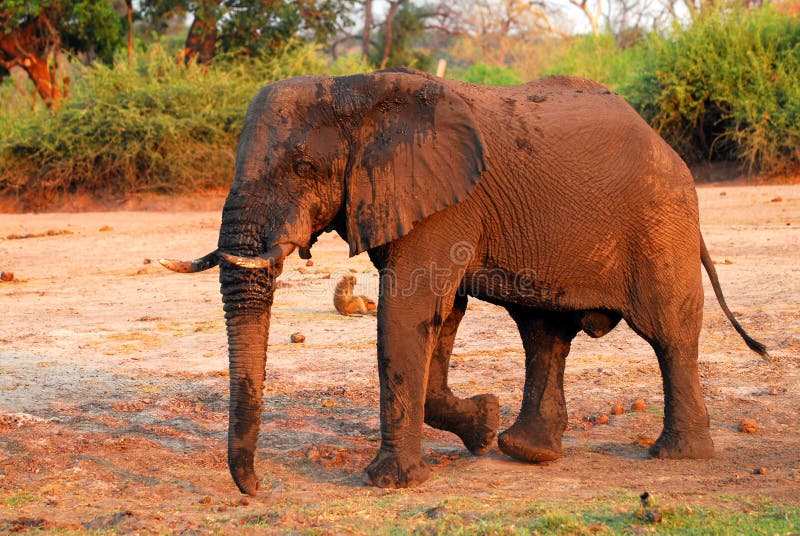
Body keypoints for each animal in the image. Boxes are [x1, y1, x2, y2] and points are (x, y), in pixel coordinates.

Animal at [160, 68, 768, 496]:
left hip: (662, 222)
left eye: (304, 168)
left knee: (668, 335)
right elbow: (442, 314)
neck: (353, 90)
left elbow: (408, 311)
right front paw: (482, 424)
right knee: (544, 335)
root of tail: (666, 146)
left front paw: (389, 484)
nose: (258, 488)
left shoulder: (444, 203)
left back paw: (676, 456)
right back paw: (526, 451)